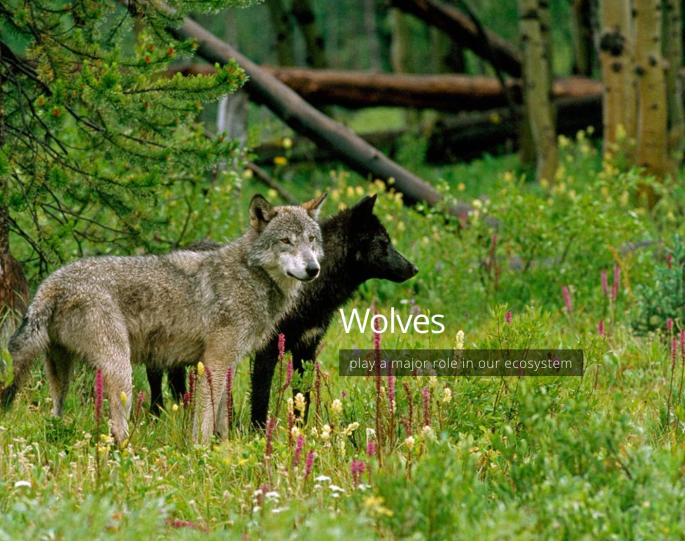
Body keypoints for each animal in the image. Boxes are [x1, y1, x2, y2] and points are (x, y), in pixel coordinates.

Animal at [0, 193, 327, 445]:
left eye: (311, 239)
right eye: (286, 241)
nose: (313, 269)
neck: (250, 275)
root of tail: (52, 284)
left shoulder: (228, 365)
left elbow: (222, 419)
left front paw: (225, 450)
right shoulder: (215, 363)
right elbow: (204, 421)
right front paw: (201, 454)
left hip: (61, 374)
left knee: (55, 415)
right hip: (121, 371)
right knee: (117, 428)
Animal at [147, 194, 418, 427]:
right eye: (383, 243)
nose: (414, 268)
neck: (310, 295)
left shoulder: (306, 350)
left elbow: (303, 400)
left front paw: (302, 434)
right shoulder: (267, 351)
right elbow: (261, 399)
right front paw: (257, 434)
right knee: (156, 379)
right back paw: (157, 416)